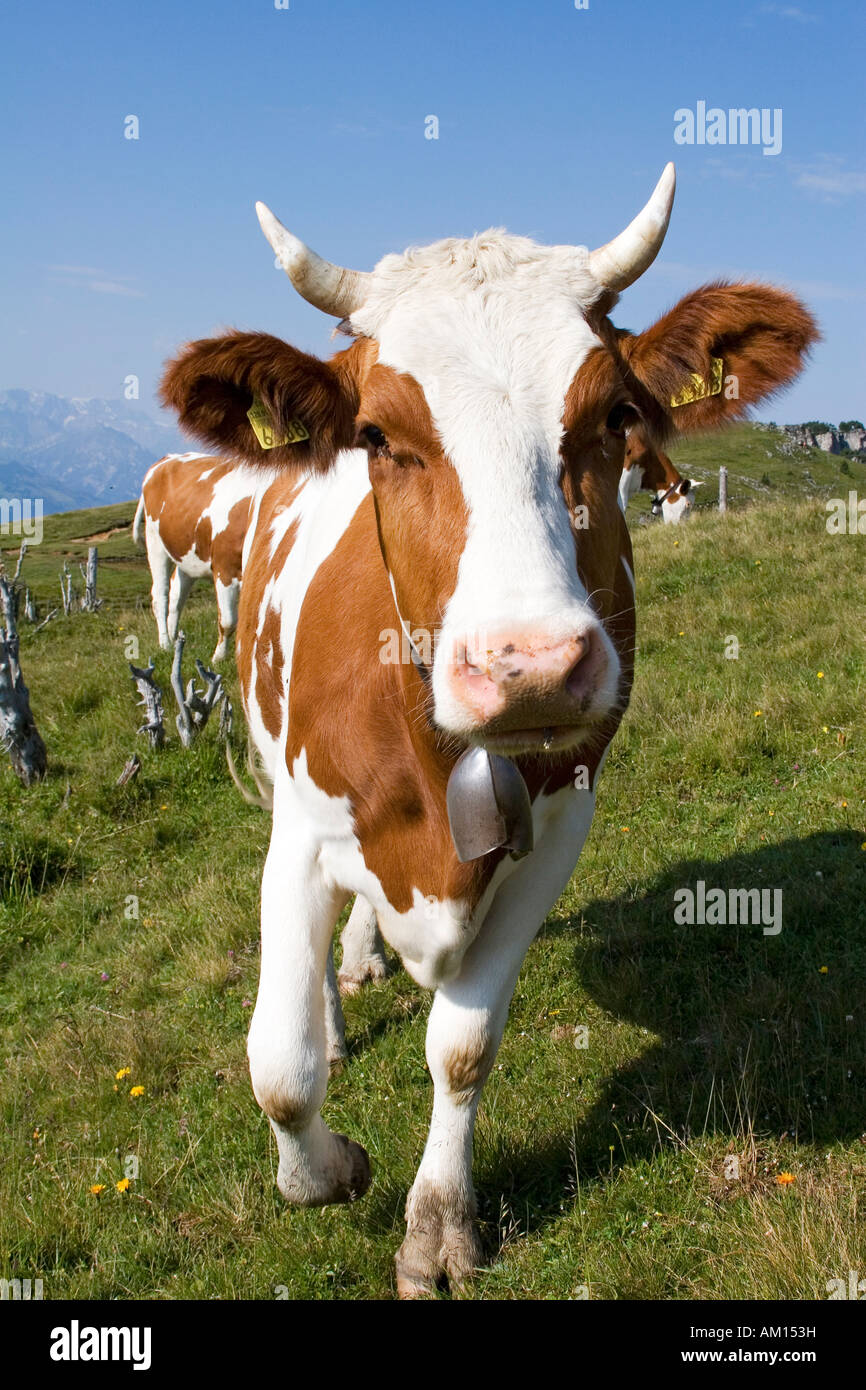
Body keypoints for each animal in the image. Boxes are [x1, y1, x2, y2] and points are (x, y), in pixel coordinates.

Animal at [133, 452, 275, 662]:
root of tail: (166, 459)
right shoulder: (225, 570)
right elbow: (228, 621)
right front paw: (218, 658)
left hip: (187, 554)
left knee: (177, 595)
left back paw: (175, 639)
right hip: (155, 542)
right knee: (161, 595)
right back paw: (165, 644)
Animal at [160, 164, 817, 1297]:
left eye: (614, 415)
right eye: (377, 436)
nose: (529, 666)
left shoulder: (554, 838)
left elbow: (461, 1046)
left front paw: (439, 1223)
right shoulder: (301, 830)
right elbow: (278, 1065)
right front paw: (330, 1165)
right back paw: (343, 1007)